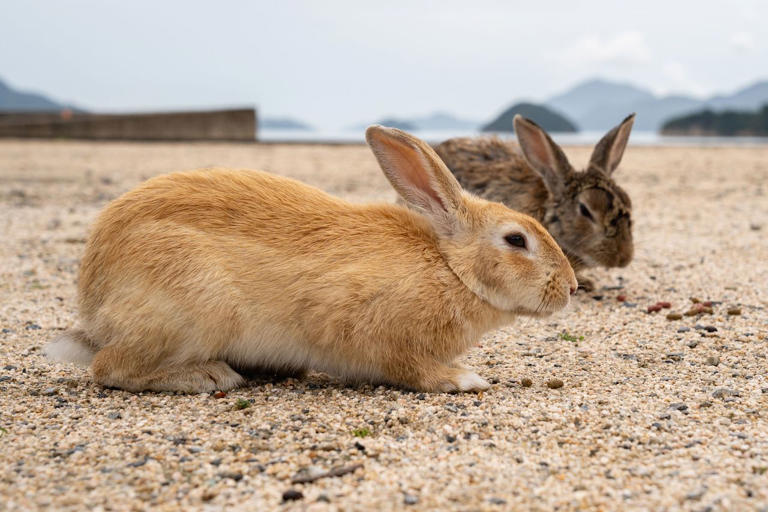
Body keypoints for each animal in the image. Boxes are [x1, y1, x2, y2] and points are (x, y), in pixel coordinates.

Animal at [45, 125, 577, 394]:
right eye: (516, 240)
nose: (570, 288)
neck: (450, 269)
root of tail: (94, 307)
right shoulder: (374, 335)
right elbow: (410, 368)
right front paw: (464, 379)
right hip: (192, 307)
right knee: (110, 368)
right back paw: (206, 376)